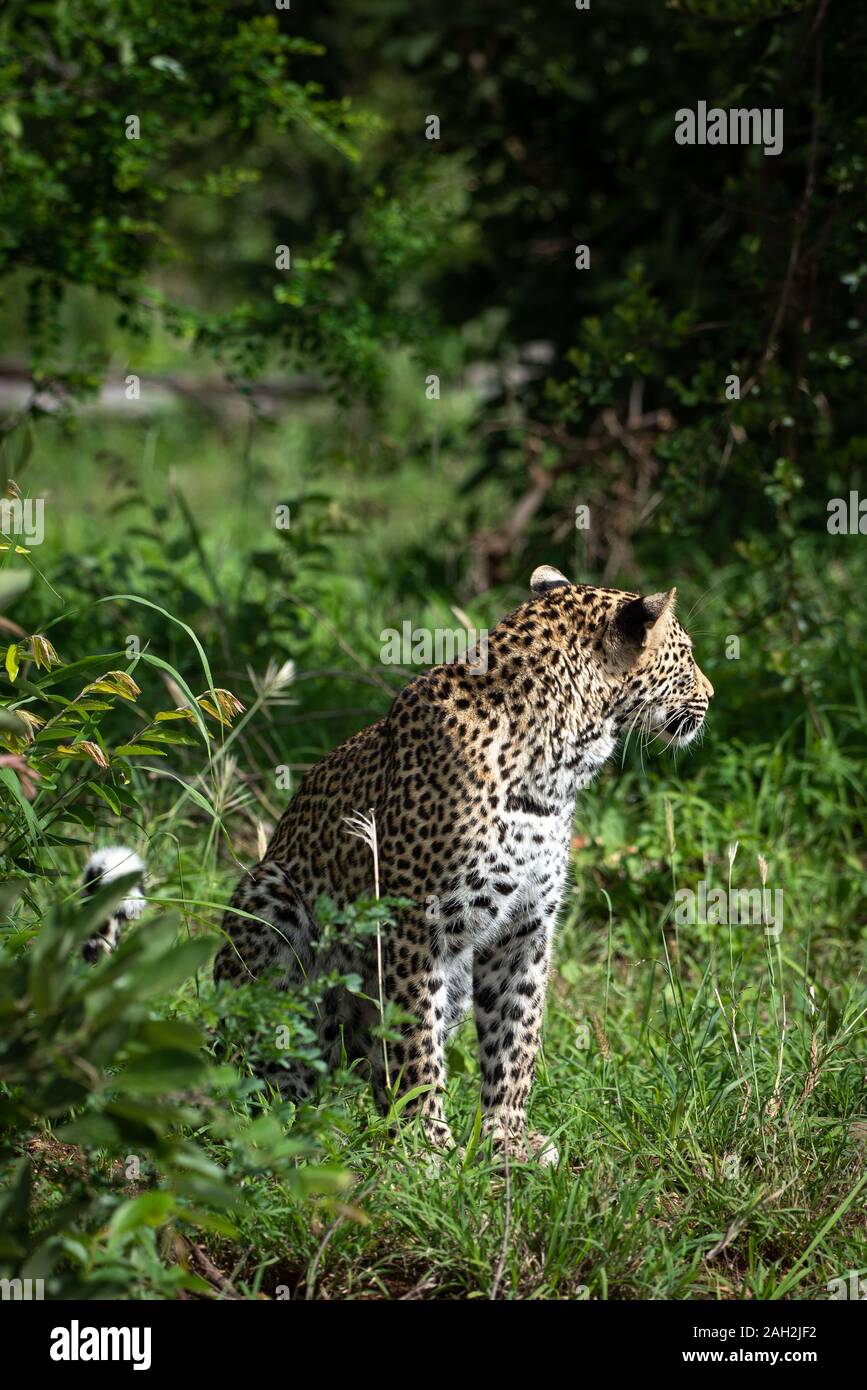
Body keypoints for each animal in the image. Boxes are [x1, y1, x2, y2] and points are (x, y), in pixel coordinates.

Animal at [213, 565, 713, 1165]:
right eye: (686, 655)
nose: (712, 695)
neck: (558, 770)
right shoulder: (414, 924)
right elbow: (415, 1044)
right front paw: (425, 1147)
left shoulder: (526, 926)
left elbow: (516, 1034)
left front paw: (507, 1138)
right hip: (270, 900)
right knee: (270, 1063)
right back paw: (294, 1128)